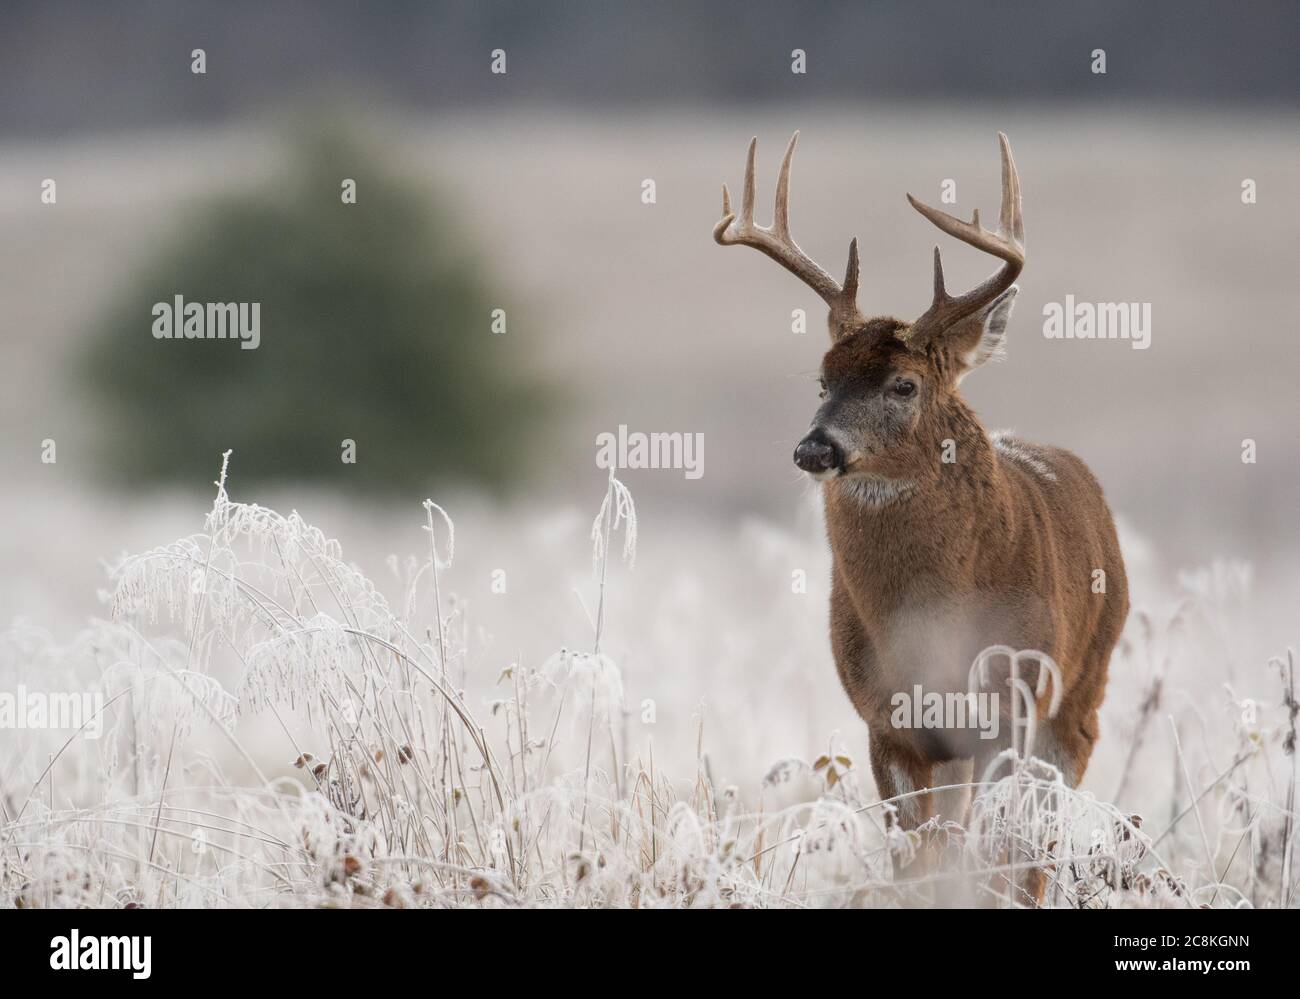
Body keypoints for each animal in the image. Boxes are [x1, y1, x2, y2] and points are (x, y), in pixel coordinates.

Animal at [712, 132, 1129, 897]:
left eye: (903, 384)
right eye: (822, 380)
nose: (814, 446)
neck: (932, 618)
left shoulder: (1009, 709)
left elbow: (1000, 857)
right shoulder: (888, 723)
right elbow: (919, 864)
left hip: (1081, 693)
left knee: (1040, 844)